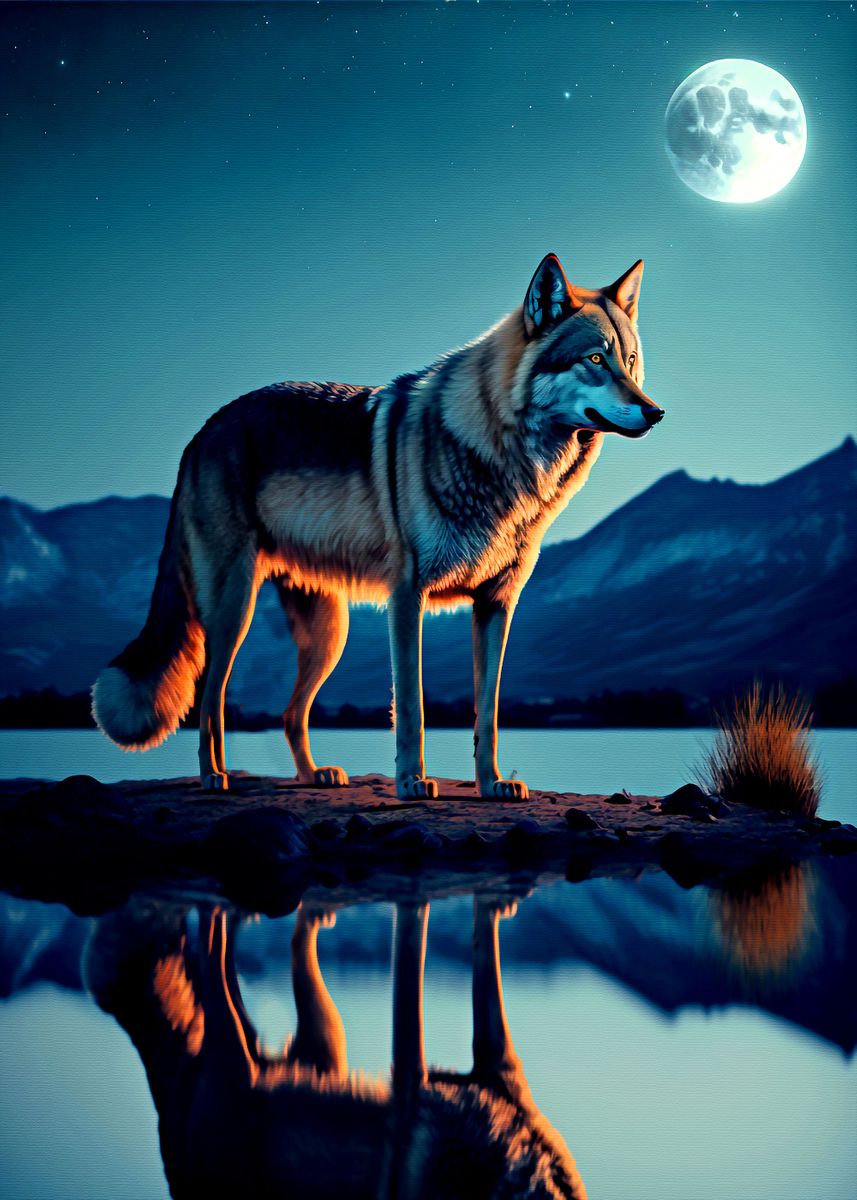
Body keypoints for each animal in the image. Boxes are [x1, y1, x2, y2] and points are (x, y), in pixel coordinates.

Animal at [92, 252, 663, 797]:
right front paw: (412, 784)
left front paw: (491, 786)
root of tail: (203, 430)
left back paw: (314, 776)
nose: (655, 412)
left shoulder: (496, 605)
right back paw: (214, 777)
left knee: (289, 713)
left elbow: (489, 715)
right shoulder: (408, 597)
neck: (506, 460)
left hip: (329, 634)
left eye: (631, 362)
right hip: (236, 614)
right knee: (210, 701)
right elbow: (411, 708)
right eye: (595, 359)